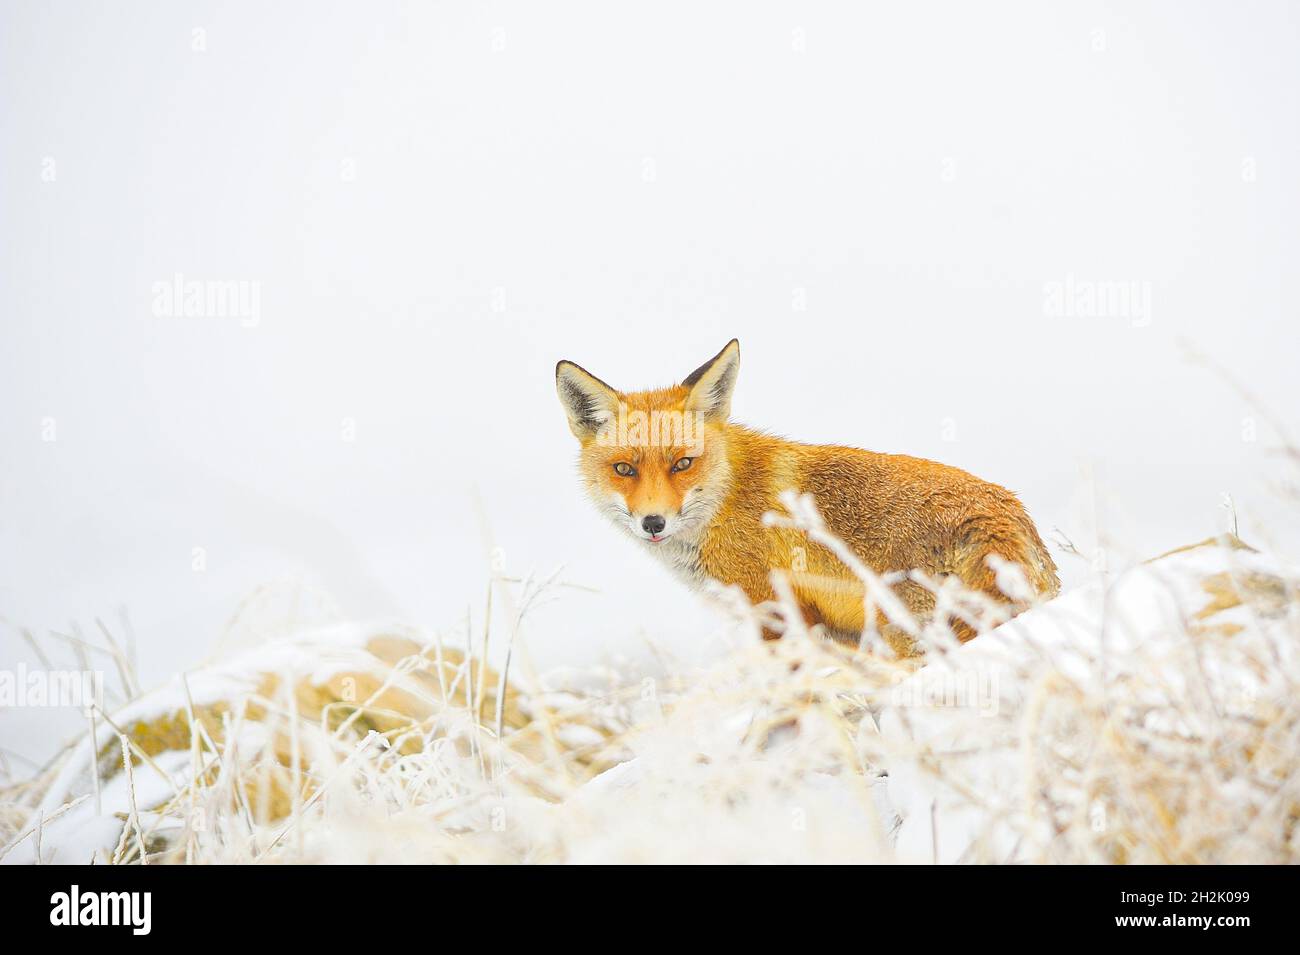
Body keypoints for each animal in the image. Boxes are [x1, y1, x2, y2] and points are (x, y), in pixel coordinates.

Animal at [555, 339, 1059, 654]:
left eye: (683, 463)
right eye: (624, 469)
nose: (653, 522)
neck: (727, 499)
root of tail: (1003, 516)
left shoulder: (779, 613)